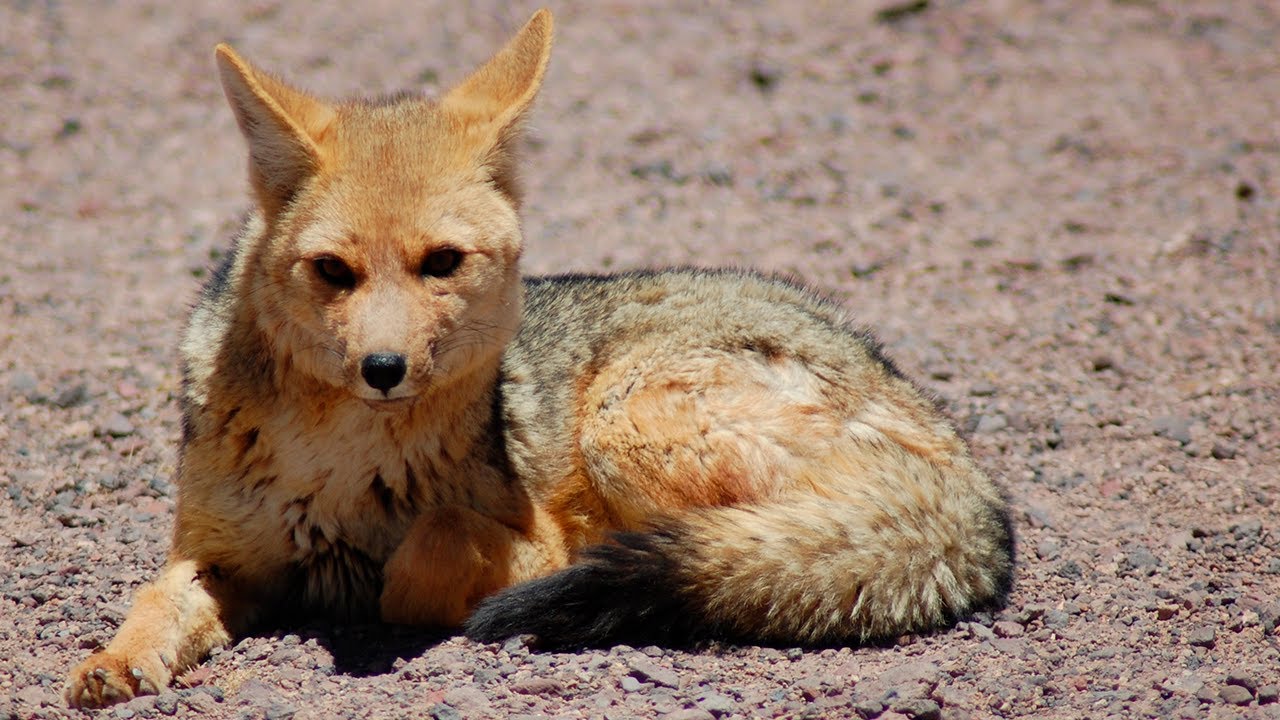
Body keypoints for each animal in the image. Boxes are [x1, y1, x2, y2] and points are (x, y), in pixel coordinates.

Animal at [64, 8, 1014, 708]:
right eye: (333, 271)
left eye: (441, 262)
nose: (383, 368)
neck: (336, 461)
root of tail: (970, 474)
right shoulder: (219, 552)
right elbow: (156, 599)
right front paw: (115, 661)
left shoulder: (531, 533)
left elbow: (419, 561)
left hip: (624, 425)